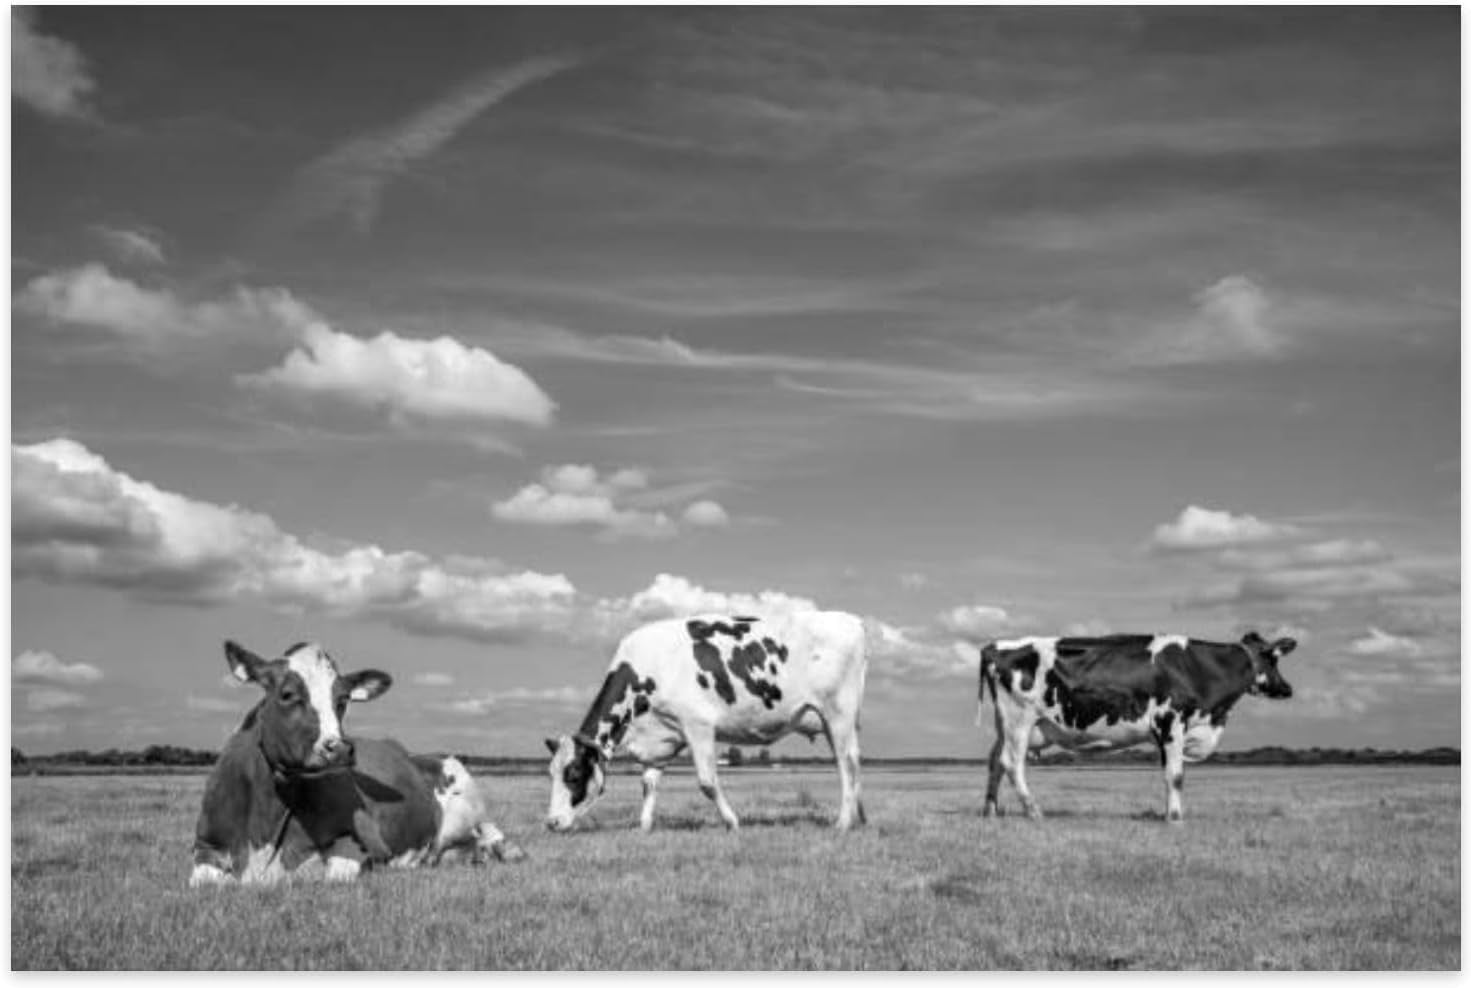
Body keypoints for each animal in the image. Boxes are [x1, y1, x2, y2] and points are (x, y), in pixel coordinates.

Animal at [190, 640, 522, 886]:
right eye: (287, 694)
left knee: (491, 835)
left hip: (468, 807)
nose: (338, 748)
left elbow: (327, 875)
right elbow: (204, 879)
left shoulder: (363, 843)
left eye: (343, 700)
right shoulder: (206, 846)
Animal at [544, 610, 867, 833]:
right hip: (837, 720)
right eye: (551, 773)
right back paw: (859, 818)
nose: (551, 822)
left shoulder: (697, 725)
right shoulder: (663, 738)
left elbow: (707, 782)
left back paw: (842, 823)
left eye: (573, 774)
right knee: (853, 761)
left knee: (846, 765)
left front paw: (733, 822)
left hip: (838, 712)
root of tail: (851, 620)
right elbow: (648, 783)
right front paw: (644, 826)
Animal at [978, 631, 1295, 823]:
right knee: (1011, 763)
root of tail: (996, 646)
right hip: (1019, 719)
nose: (1287, 688)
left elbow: (1170, 774)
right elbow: (1176, 775)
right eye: (1274, 659)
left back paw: (990, 810)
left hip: (1005, 725)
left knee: (994, 761)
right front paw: (1175, 818)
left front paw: (1169, 814)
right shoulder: (1170, 721)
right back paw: (1033, 810)